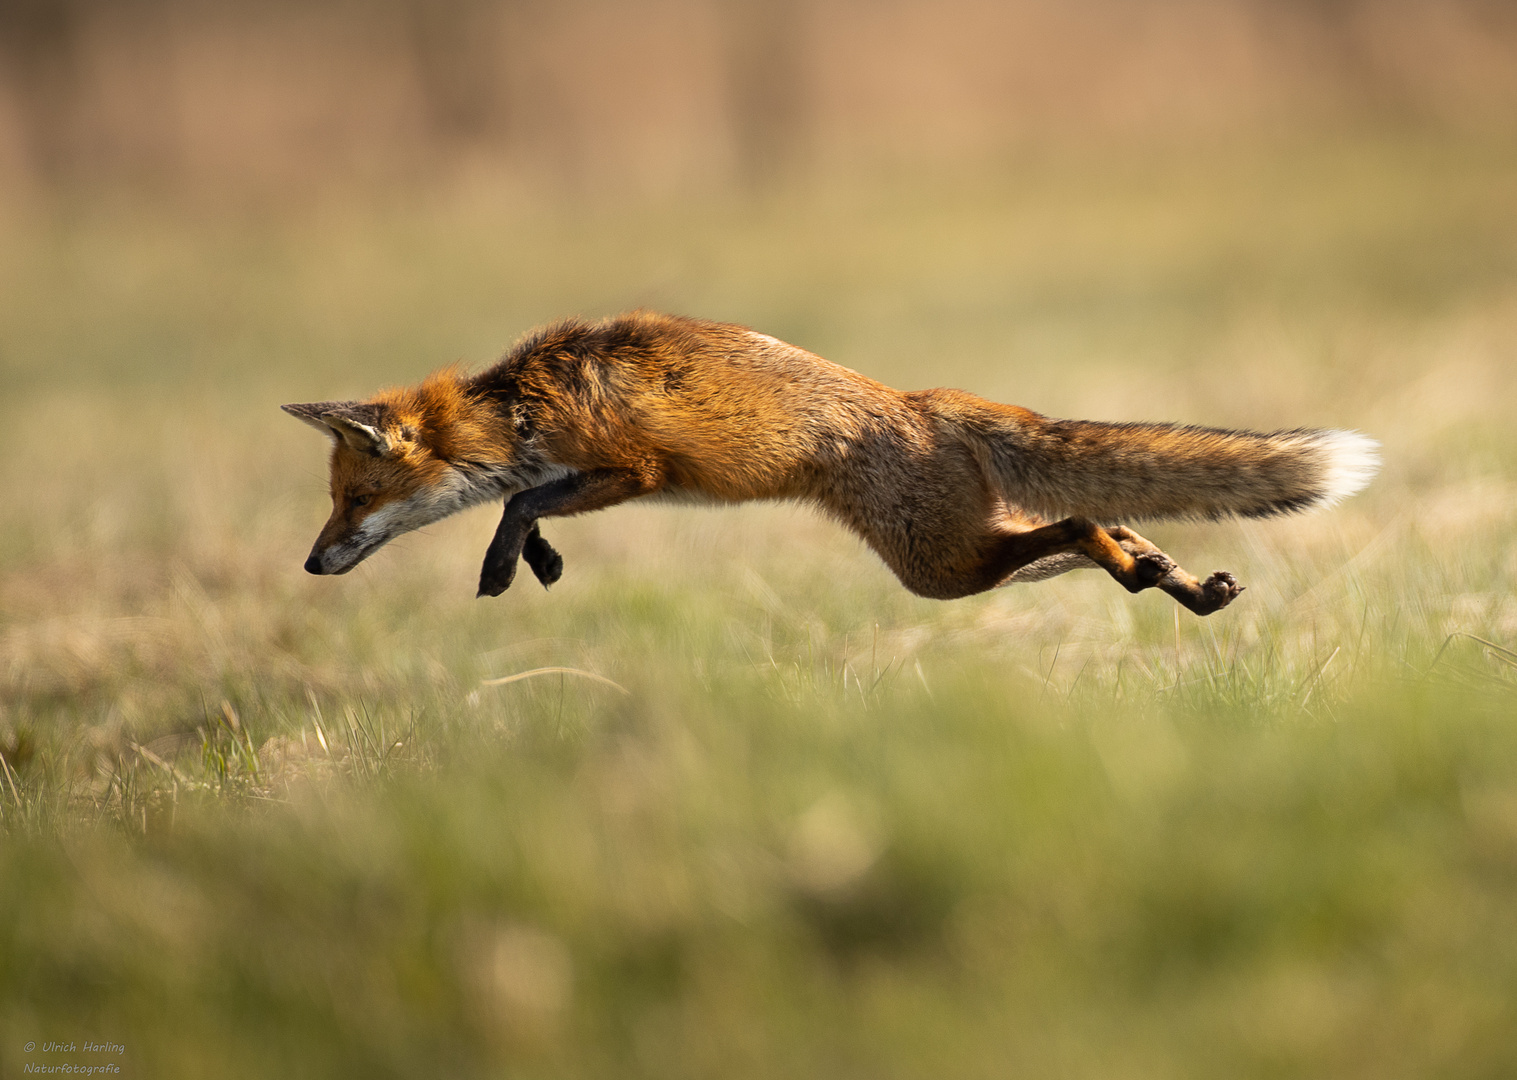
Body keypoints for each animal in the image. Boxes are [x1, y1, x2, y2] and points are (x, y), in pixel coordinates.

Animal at [283, 311, 1378, 616]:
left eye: (354, 497)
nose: (310, 562)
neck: (517, 406)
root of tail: (926, 403)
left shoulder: (635, 469)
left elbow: (517, 506)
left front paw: (508, 566)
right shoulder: (603, 479)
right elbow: (526, 507)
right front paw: (541, 563)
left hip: (936, 568)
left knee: (1075, 524)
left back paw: (1150, 575)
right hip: (959, 556)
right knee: (1100, 526)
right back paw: (1172, 580)